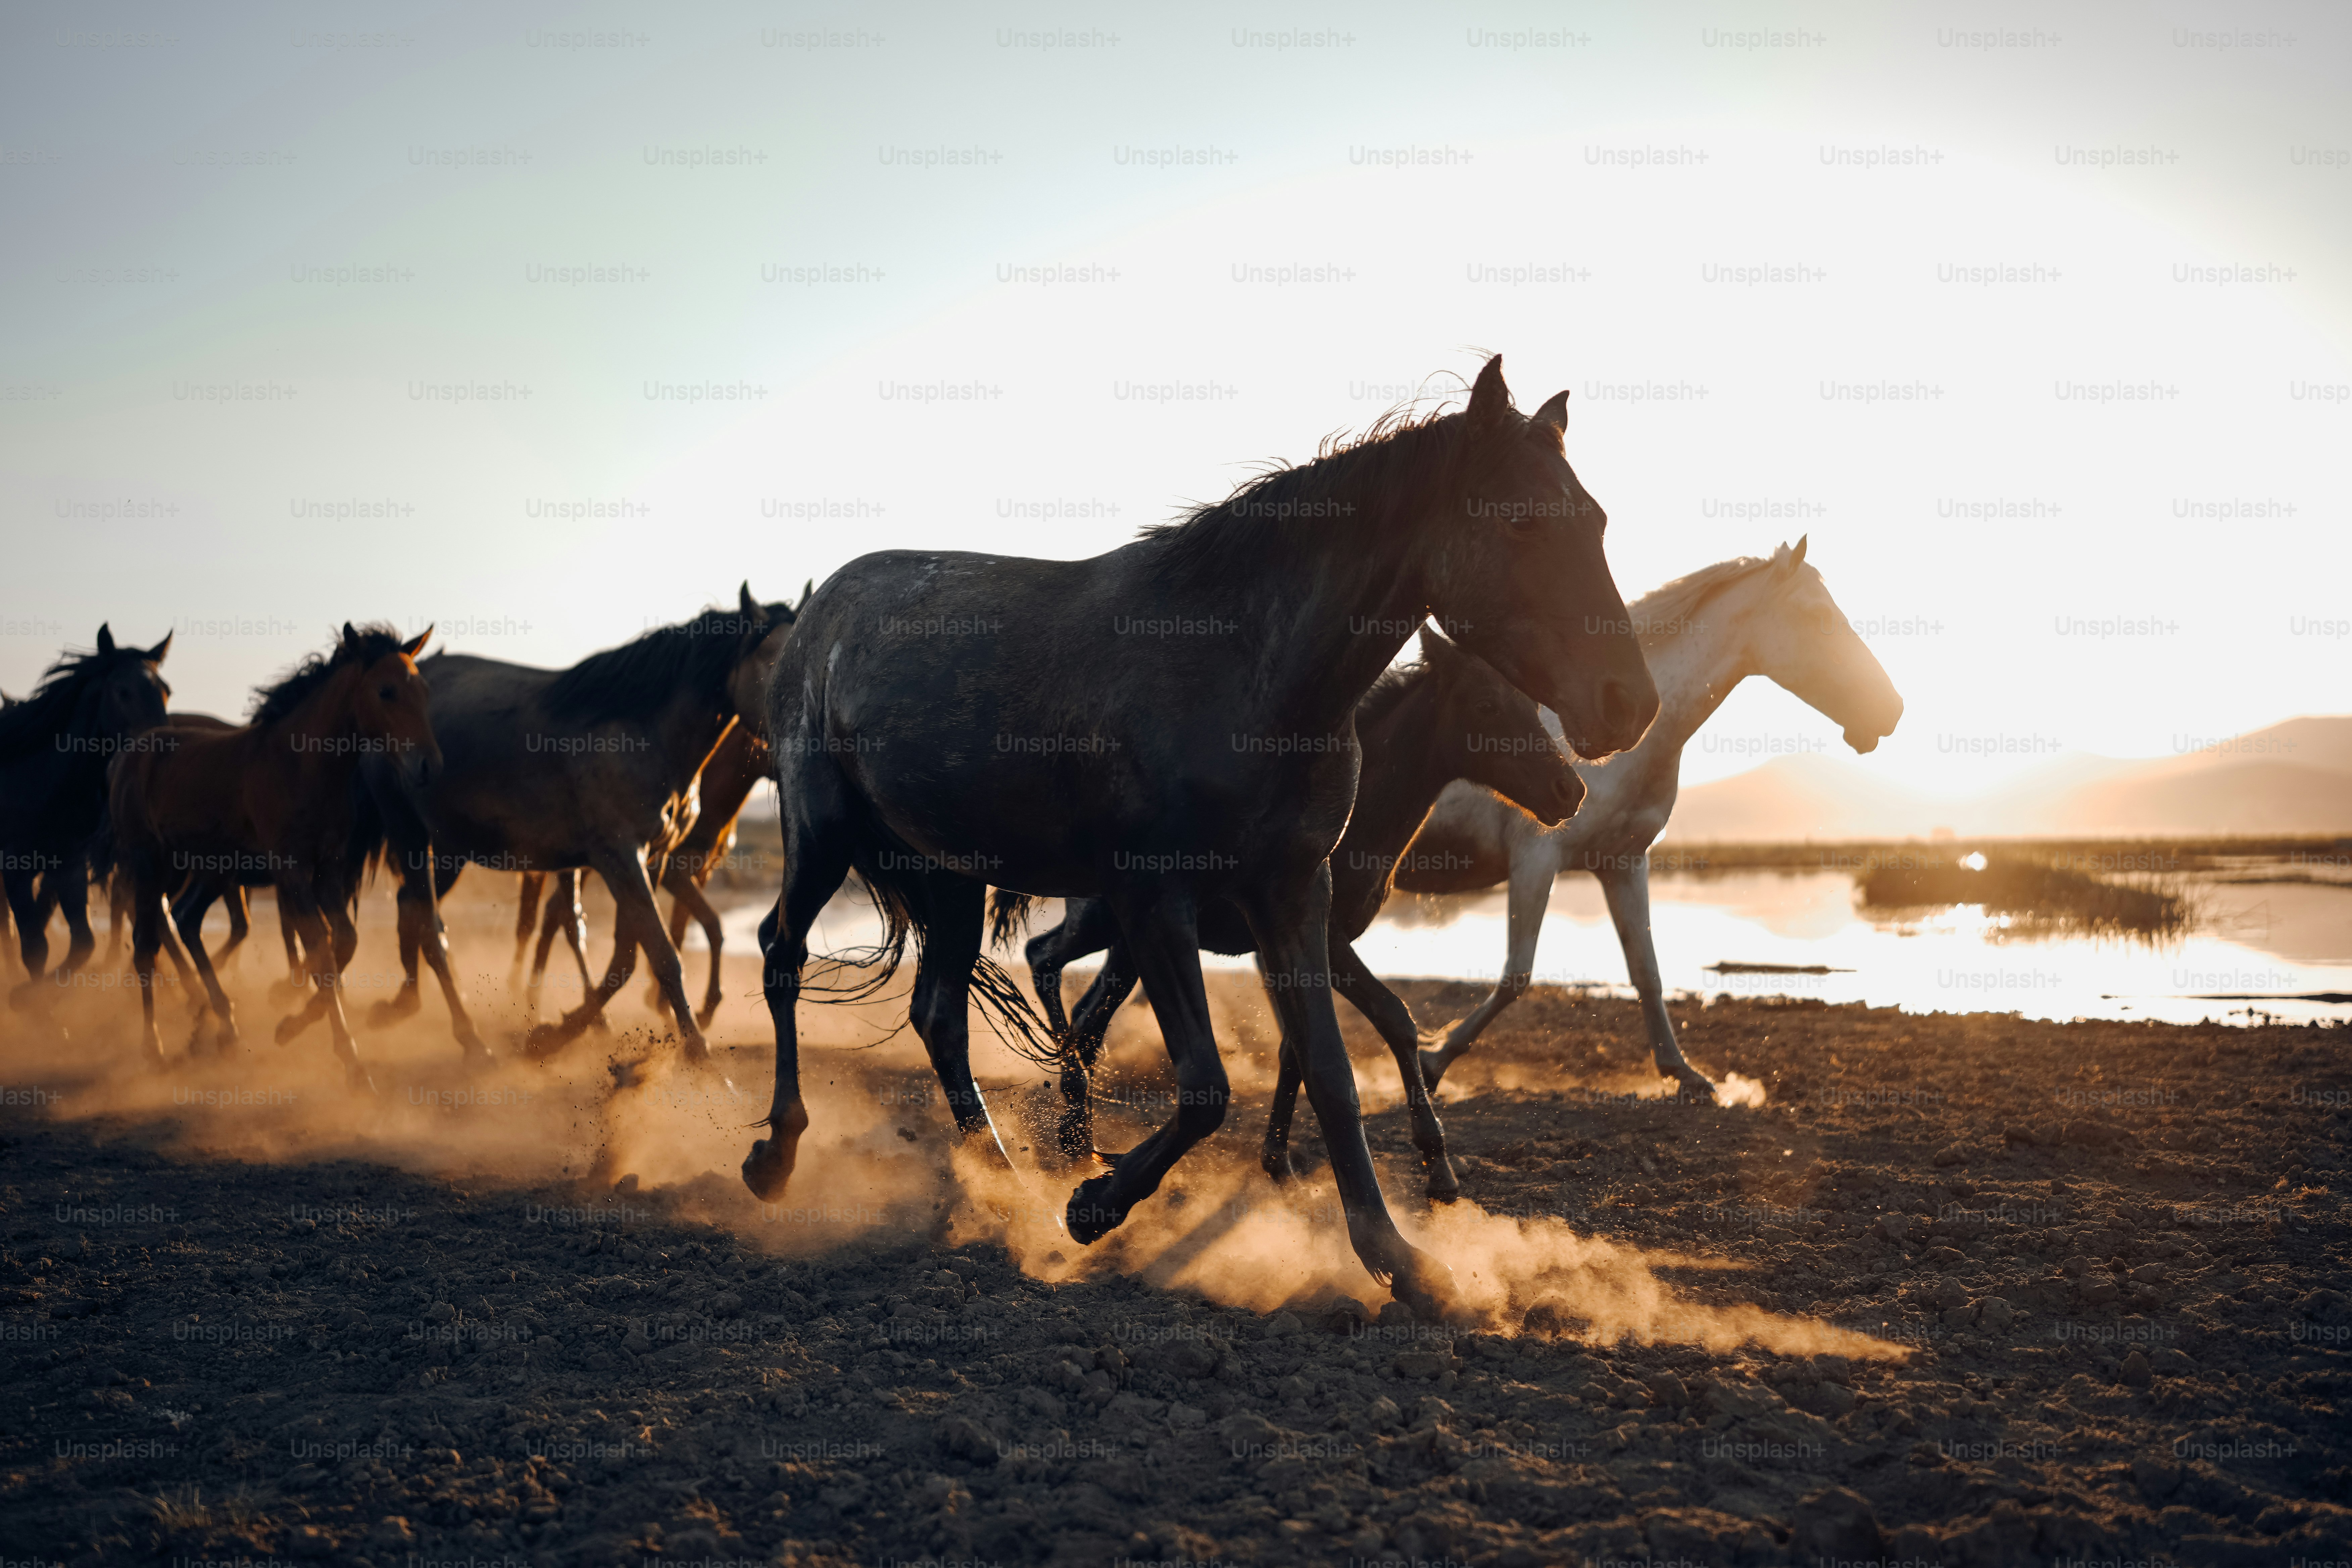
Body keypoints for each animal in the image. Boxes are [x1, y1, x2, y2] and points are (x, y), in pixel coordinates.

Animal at [0, 625, 174, 1005]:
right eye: (123, 691)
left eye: (166, 691)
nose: (158, 749)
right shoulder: (15, 865)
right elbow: (35, 948)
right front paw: (30, 1004)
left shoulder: (67, 865)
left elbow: (83, 944)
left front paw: (27, 998)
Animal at [107, 625, 439, 1087]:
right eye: (386, 691)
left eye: (422, 690)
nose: (428, 765)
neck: (302, 765)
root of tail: (126, 757)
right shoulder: (292, 870)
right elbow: (320, 948)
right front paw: (350, 1058)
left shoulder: (328, 869)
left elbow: (344, 941)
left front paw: (291, 1025)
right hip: (149, 863)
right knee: (146, 945)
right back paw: (154, 1048)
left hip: (209, 868)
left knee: (187, 921)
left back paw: (223, 1023)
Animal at [374, 586, 795, 1065]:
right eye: (776, 660)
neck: (643, 731)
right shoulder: (621, 858)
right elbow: (662, 953)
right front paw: (698, 1051)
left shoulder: (650, 860)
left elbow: (629, 955)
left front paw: (556, 1033)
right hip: (411, 832)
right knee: (428, 920)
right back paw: (462, 1032)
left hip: (449, 848)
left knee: (414, 908)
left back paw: (403, 1005)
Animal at [1018, 624, 1583, 1203]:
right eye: (1487, 705)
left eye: (1531, 704)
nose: (1570, 790)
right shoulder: (1330, 940)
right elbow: (1395, 1018)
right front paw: (1438, 1167)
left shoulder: (1303, 946)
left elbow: (1296, 1049)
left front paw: (1278, 1162)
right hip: (1106, 925)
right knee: (1044, 958)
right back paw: (1070, 1115)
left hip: (1132, 945)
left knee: (1089, 1016)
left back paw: (1079, 1138)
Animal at [1397, 539, 1904, 1098]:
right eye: (1818, 615)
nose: (1892, 709)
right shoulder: (1536, 860)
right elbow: (1517, 976)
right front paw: (1433, 1060)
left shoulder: (1623, 864)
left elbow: (1647, 971)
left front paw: (1683, 1072)